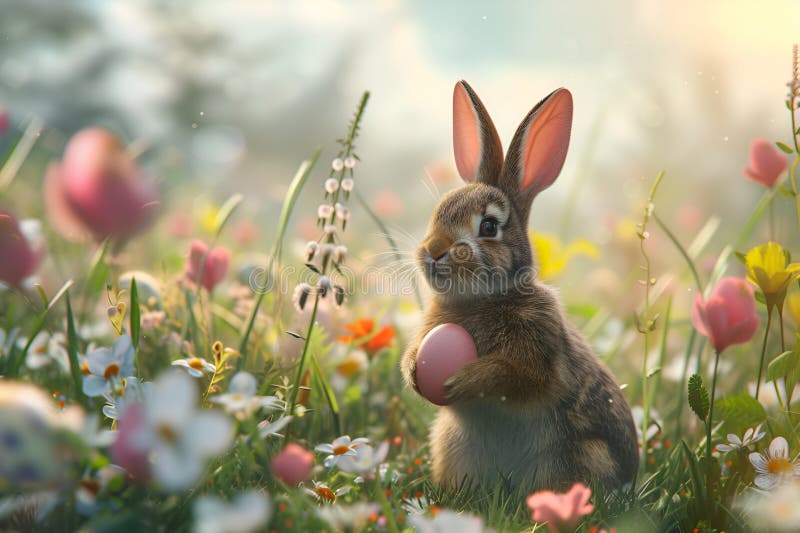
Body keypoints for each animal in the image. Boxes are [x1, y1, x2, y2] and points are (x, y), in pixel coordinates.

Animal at [401, 81, 638, 493]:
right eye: (439, 211)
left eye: (489, 227)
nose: (432, 251)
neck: (487, 296)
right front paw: (416, 370)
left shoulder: (537, 351)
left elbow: (513, 375)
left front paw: (463, 380)